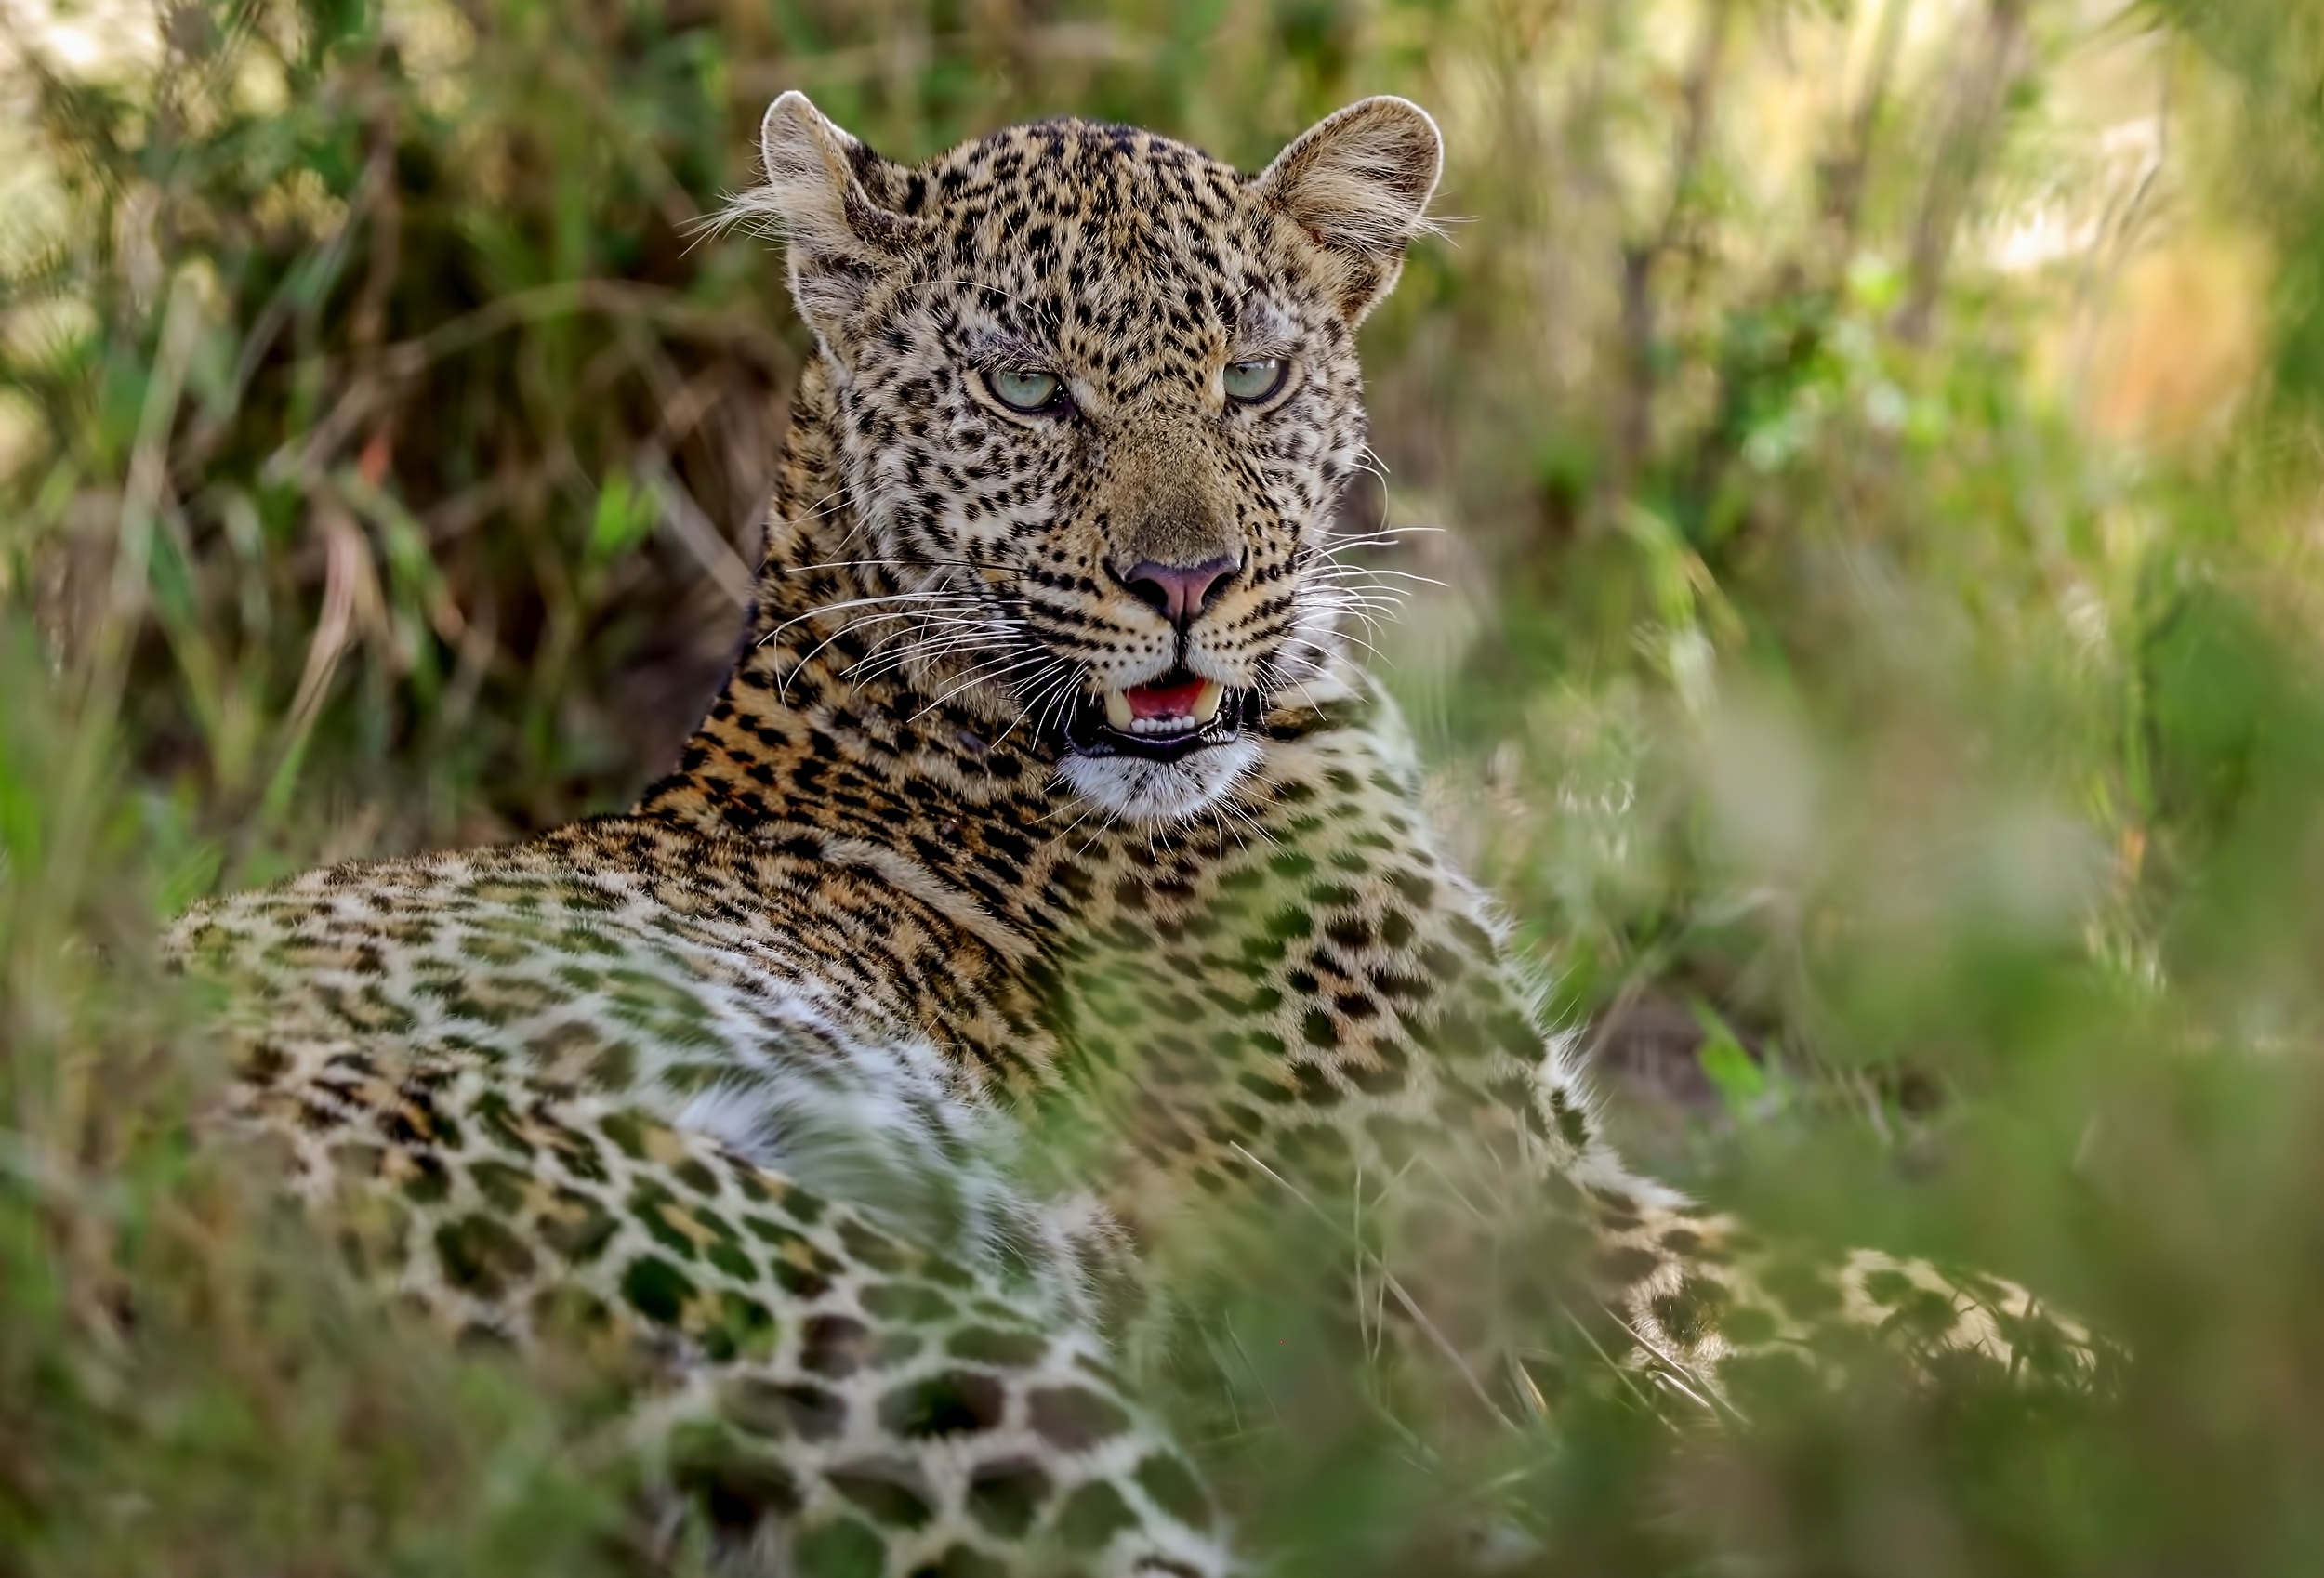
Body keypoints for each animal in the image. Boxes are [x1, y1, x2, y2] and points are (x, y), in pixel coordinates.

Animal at [167, 91, 2098, 1578]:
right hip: (894, 1335)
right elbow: (1986, 1309)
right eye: (1027, 391)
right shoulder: (1513, 1218)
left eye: (1251, 377)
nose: (1185, 582)